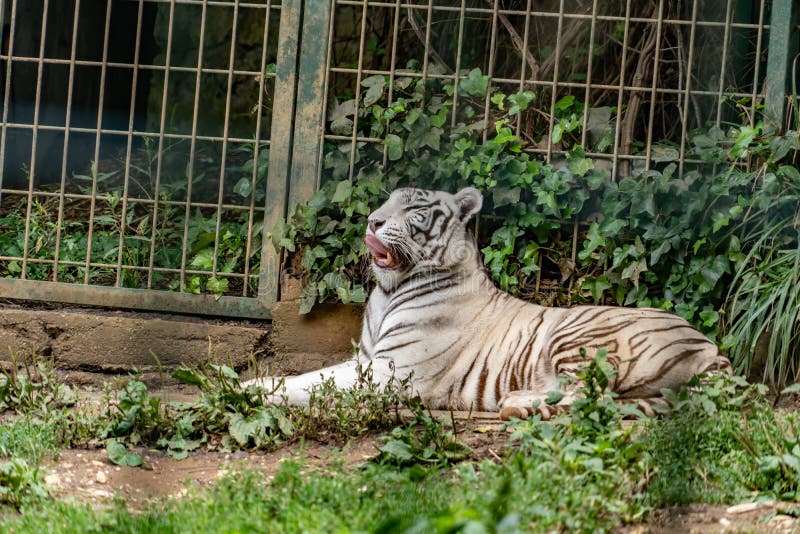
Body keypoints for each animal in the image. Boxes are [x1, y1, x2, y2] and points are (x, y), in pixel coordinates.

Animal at [247, 187, 731, 420]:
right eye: (385, 201)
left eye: (415, 208)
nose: (373, 221)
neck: (388, 291)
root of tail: (709, 346)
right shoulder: (367, 360)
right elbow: (307, 376)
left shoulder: (389, 372)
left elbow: (309, 384)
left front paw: (241, 387)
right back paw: (519, 403)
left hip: (579, 336)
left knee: (591, 395)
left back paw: (517, 404)